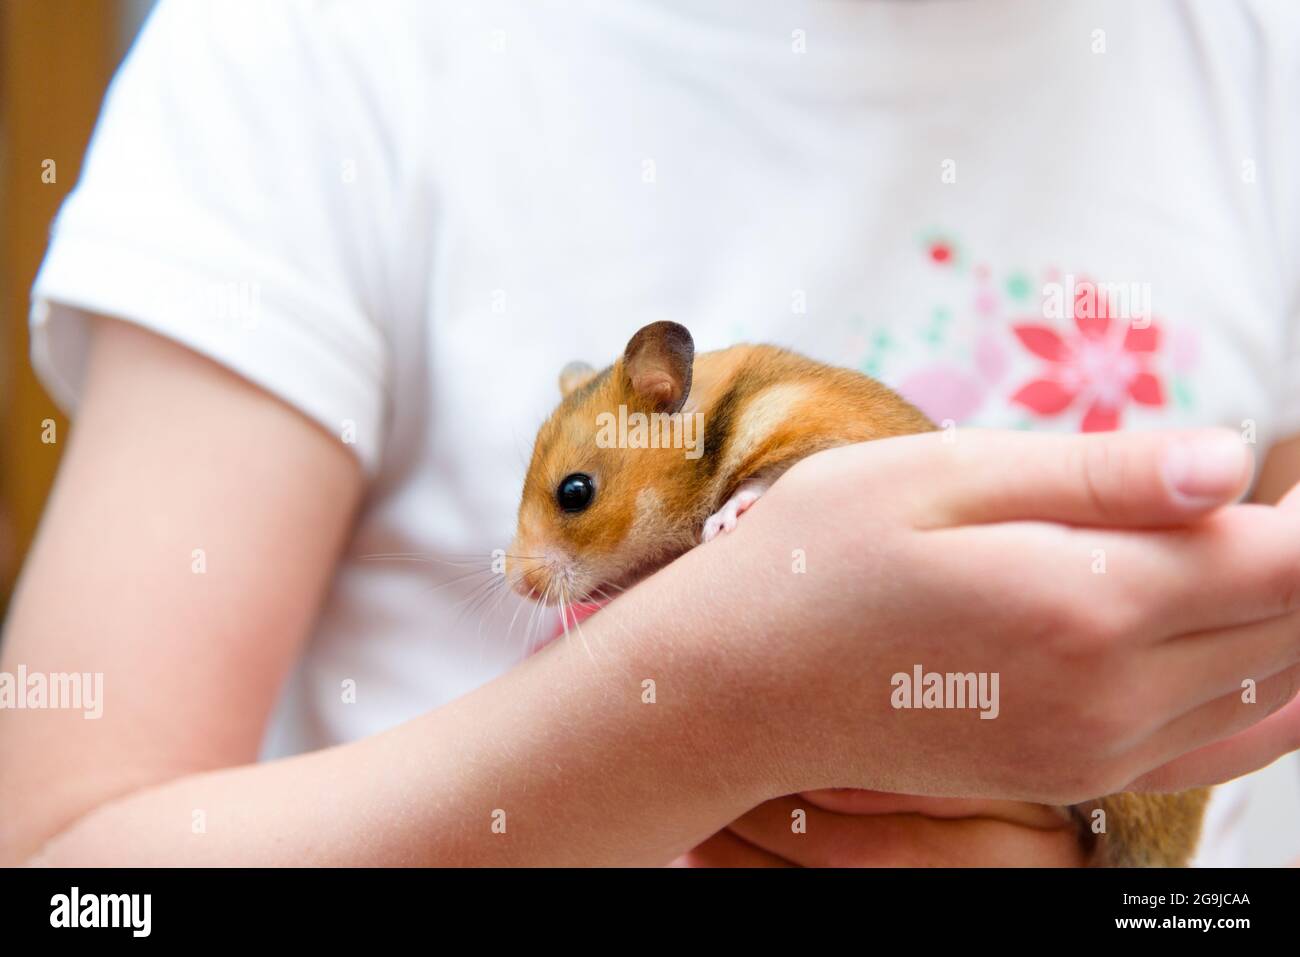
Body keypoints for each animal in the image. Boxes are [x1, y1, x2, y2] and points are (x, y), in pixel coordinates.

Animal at [508, 320, 1208, 867]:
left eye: (575, 492)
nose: (516, 582)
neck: (714, 428)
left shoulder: (816, 437)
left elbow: (759, 483)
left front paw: (720, 524)